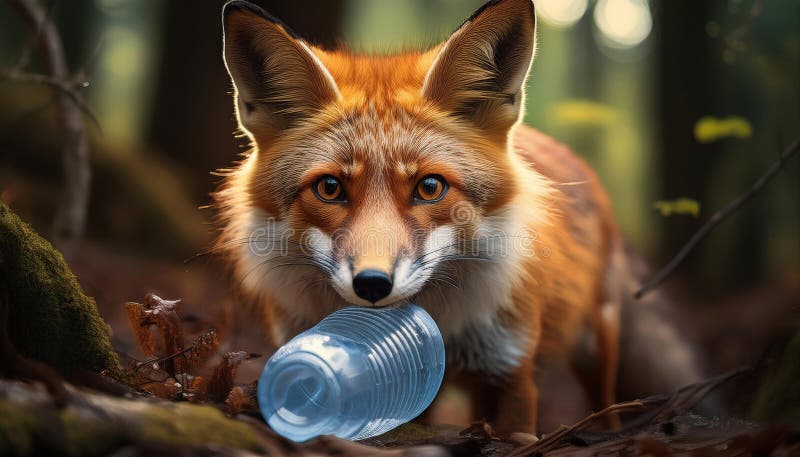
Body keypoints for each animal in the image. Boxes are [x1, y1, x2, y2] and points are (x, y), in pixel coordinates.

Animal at [214, 0, 703, 434]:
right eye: (330, 188)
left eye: (430, 187)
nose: (372, 283)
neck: (437, 331)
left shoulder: (509, 370)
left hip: (595, 345)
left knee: (607, 402)